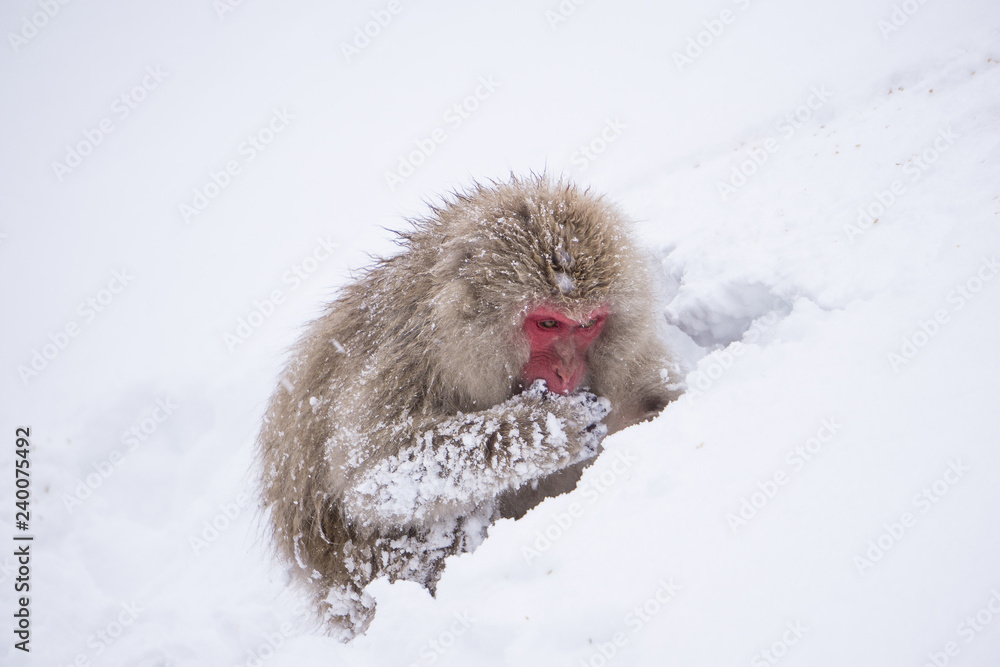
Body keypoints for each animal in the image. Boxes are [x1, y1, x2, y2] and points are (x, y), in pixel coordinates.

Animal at [256, 174, 683, 641]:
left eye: (588, 325)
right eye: (548, 323)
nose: (568, 370)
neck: (450, 331)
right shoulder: (403, 358)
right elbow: (374, 476)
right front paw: (543, 429)